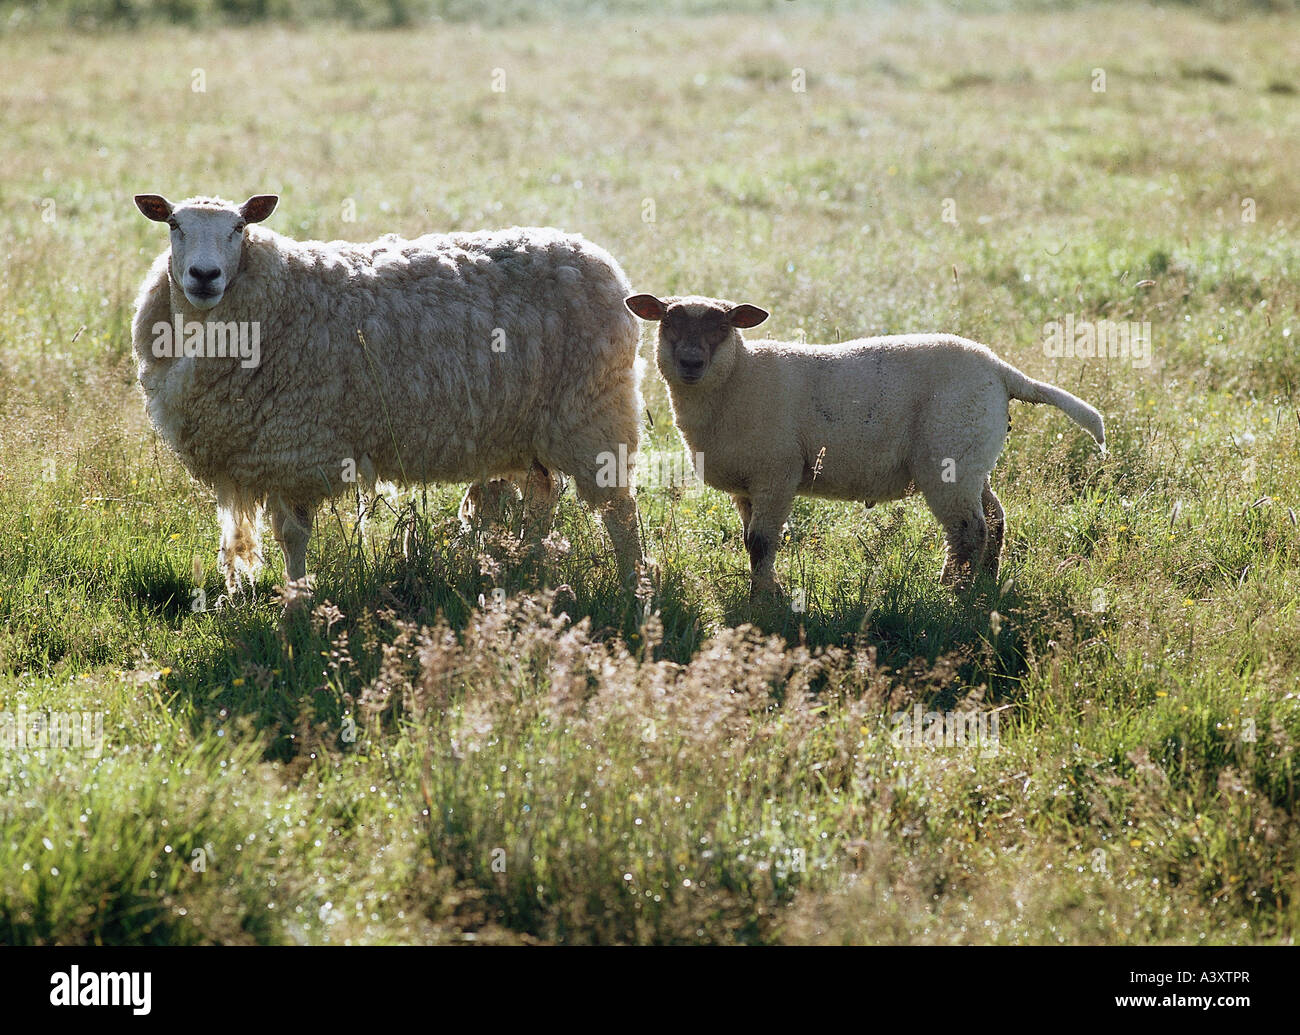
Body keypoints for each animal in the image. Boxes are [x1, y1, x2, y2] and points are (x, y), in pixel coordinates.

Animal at [131, 192, 645, 599]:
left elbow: (292, 536)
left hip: (593, 413)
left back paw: (632, 588)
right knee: (543, 495)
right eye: (174, 225)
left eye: (239, 228)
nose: (204, 275)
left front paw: (297, 610)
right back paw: (529, 569)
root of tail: (598, 258)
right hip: (526, 428)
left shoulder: (296, 448)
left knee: (619, 510)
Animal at [624, 293, 1105, 600]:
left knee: (969, 529)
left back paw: (954, 593)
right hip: (971, 458)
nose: (690, 363)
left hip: (949, 455)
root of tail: (1000, 370)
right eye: (667, 322)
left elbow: (761, 542)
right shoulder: (748, 484)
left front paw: (762, 599)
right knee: (996, 518)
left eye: (722, 327)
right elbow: (749, 539)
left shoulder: (777, 472)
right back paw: (983, 581)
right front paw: (769, 587)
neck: (739, 376)